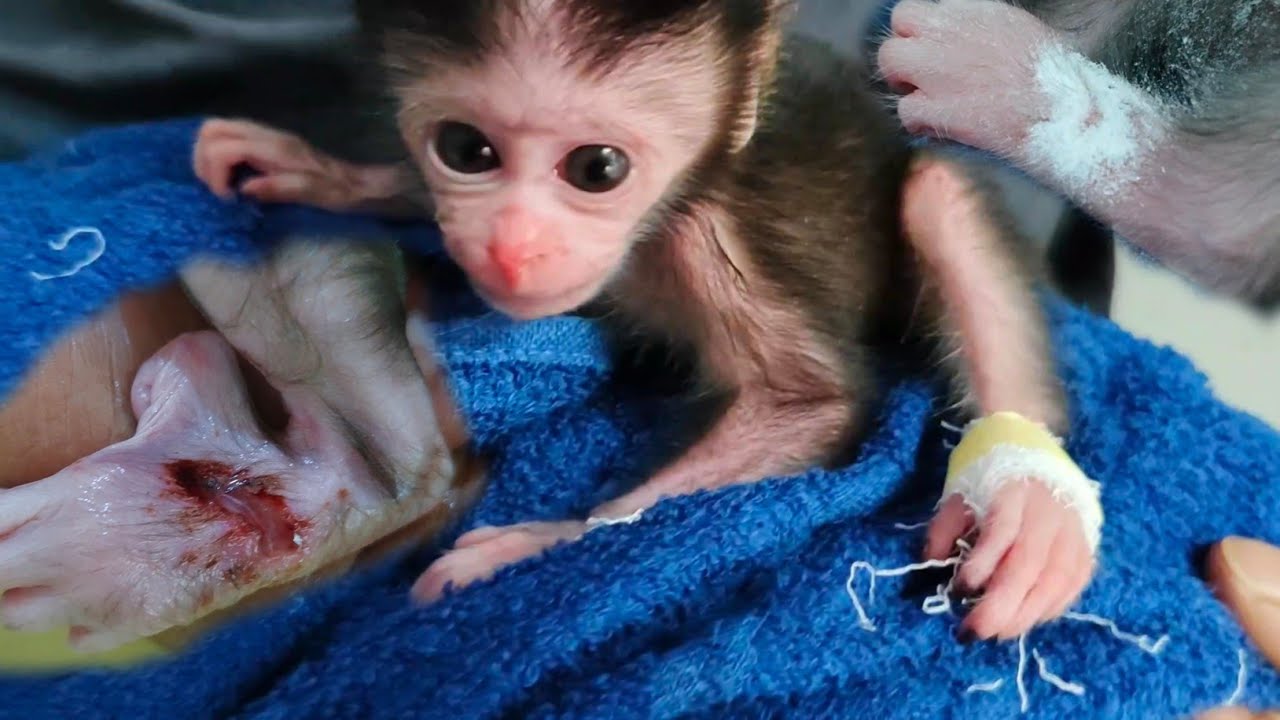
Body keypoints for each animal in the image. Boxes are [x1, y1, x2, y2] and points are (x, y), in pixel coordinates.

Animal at [0, 0, 1098, 650]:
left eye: (596, 168)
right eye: (466, 149)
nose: (514, 247)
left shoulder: (710, 234)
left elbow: (809, 400)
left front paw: (532, 544)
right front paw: (311, 170)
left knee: (939, 192)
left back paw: (1030, 501)